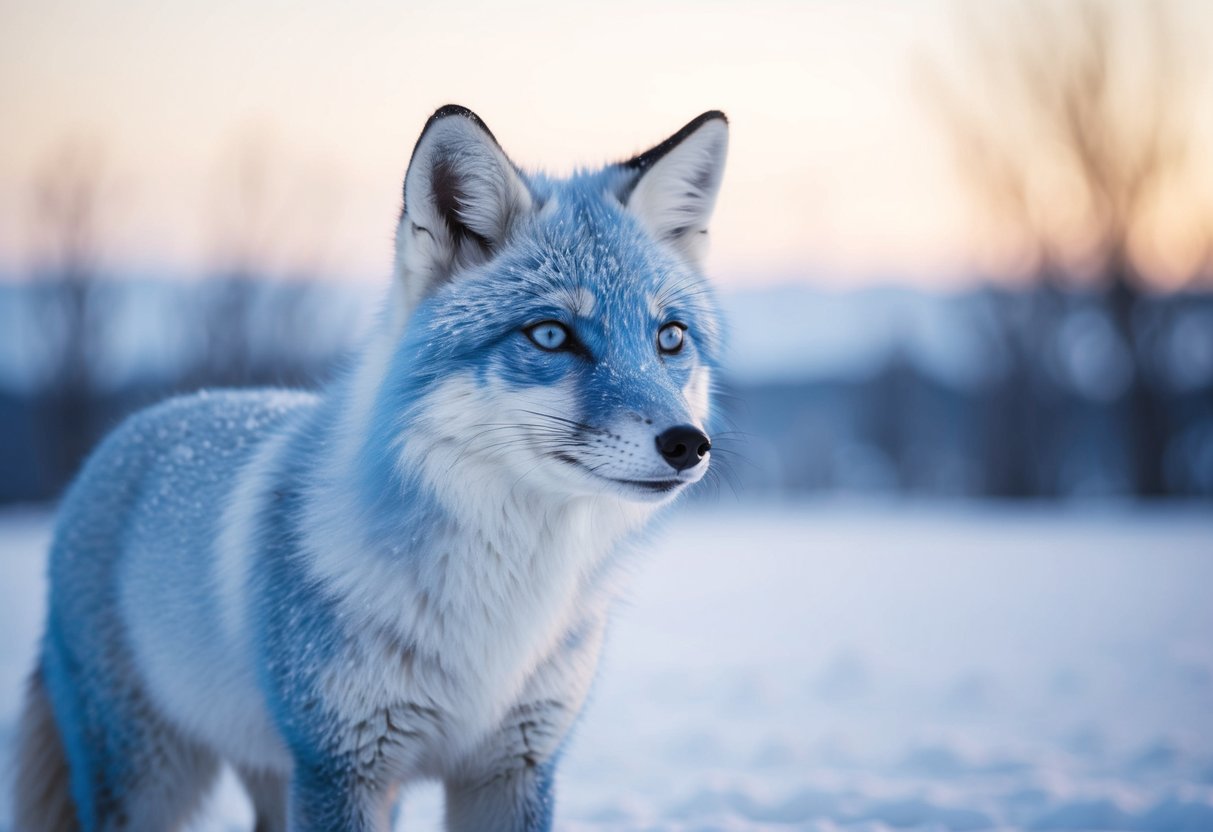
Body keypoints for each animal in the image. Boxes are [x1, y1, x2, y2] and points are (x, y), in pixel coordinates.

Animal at [12, 104, 728, 832]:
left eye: (669, 337)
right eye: (551, 335)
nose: (687, 444)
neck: (501, 601)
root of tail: (136, 429)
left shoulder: (514, 764)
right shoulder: (342, 766)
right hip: (152, 780)